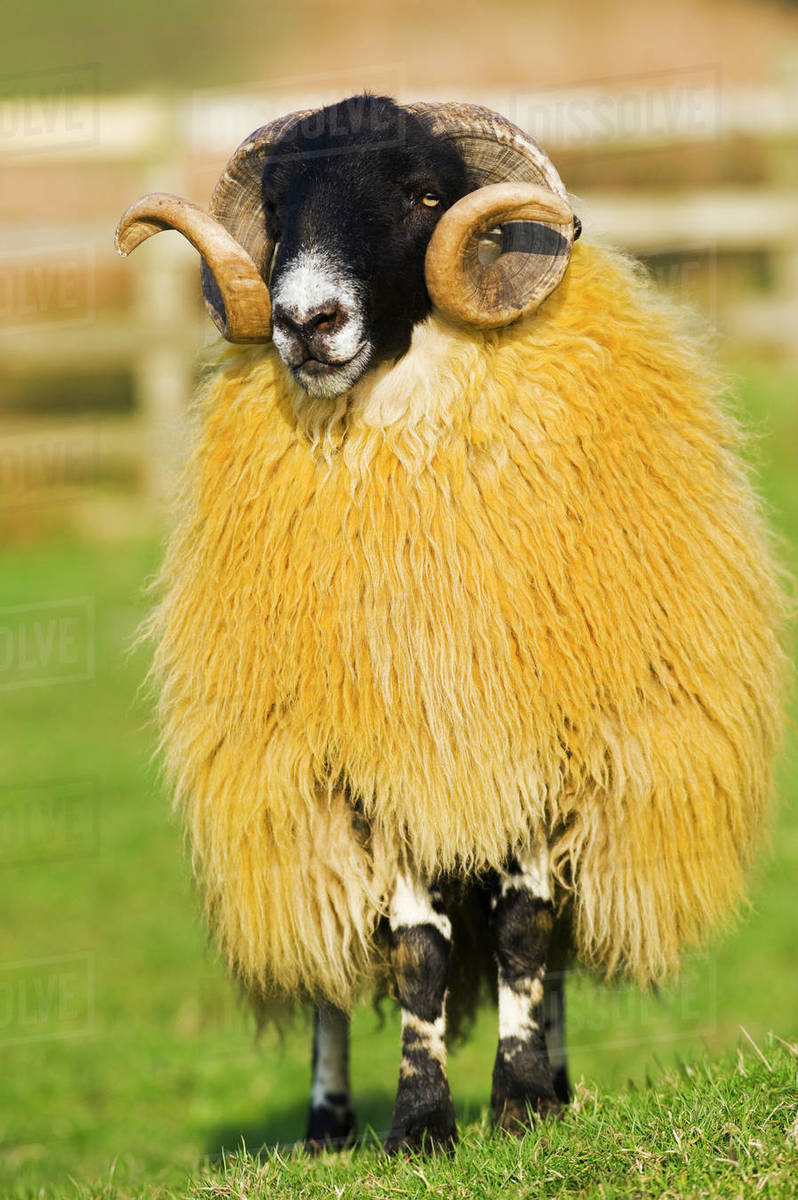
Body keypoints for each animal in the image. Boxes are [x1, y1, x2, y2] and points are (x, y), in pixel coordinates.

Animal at [115, 93, 789, 1152]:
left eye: (425, 195)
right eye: (277, 204)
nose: (306, 321)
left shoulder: (540, 744)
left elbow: (524, 934)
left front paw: (519, 1102)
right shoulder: (380, 760)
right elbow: (415, 952)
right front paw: (421, 1123)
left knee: (546, 950)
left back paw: (555, 1085)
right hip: (296, 794)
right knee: (332, 971)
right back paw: (328, 1124)